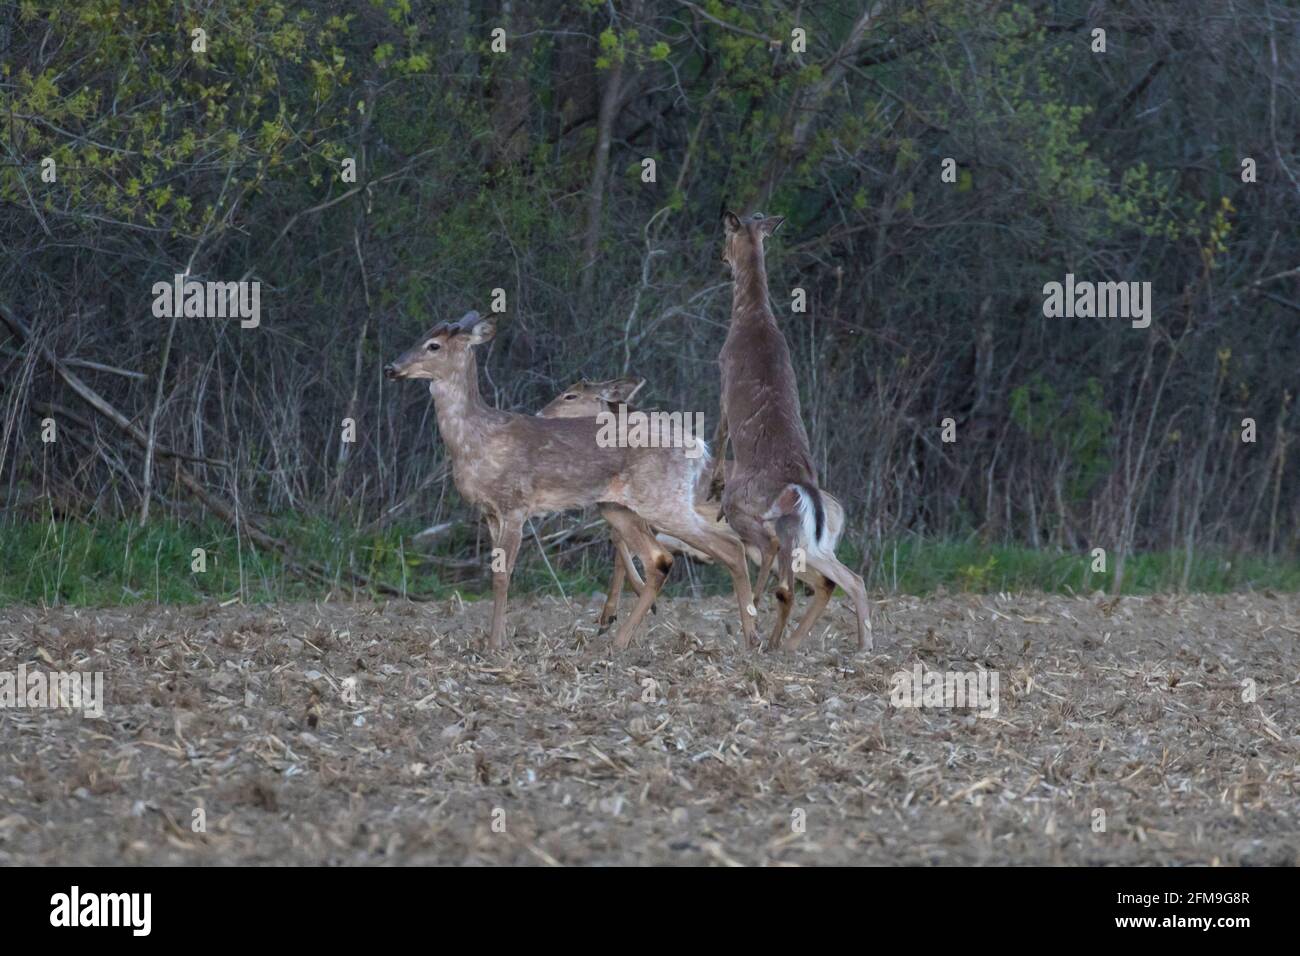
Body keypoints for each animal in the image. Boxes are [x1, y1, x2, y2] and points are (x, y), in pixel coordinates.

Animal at [384, 312, 760, 651]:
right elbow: (496, 572)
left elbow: (503, 575)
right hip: (618, 507)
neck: (477, 441)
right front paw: (499, 640)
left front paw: (494, 646)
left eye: (433, 345)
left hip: (662, 498)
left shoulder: (515, 504)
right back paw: (623, 640)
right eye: (421, 336)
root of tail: (698, 445)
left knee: (728, 545)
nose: (391, 368)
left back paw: (748, 637)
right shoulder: (488, 511)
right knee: (661, 558)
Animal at [538, 377, 858, 652]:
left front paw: (619, 612)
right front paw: (614, 614)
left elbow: (620, 544)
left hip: (796, 546)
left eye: (571, 395)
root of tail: (837, 509)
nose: (541, 414)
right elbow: (620, 543)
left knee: (833, 579)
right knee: (827, 581)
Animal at [712, 211, 872, 652]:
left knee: (771, 558)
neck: (753, 318)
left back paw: (758, 617)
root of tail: (801, 485)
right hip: (801, 535)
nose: (721, 257)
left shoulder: (722, 376)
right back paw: (859, 644)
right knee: (830, 580)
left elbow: (719, 432)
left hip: (748, 508)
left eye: (726, 235)